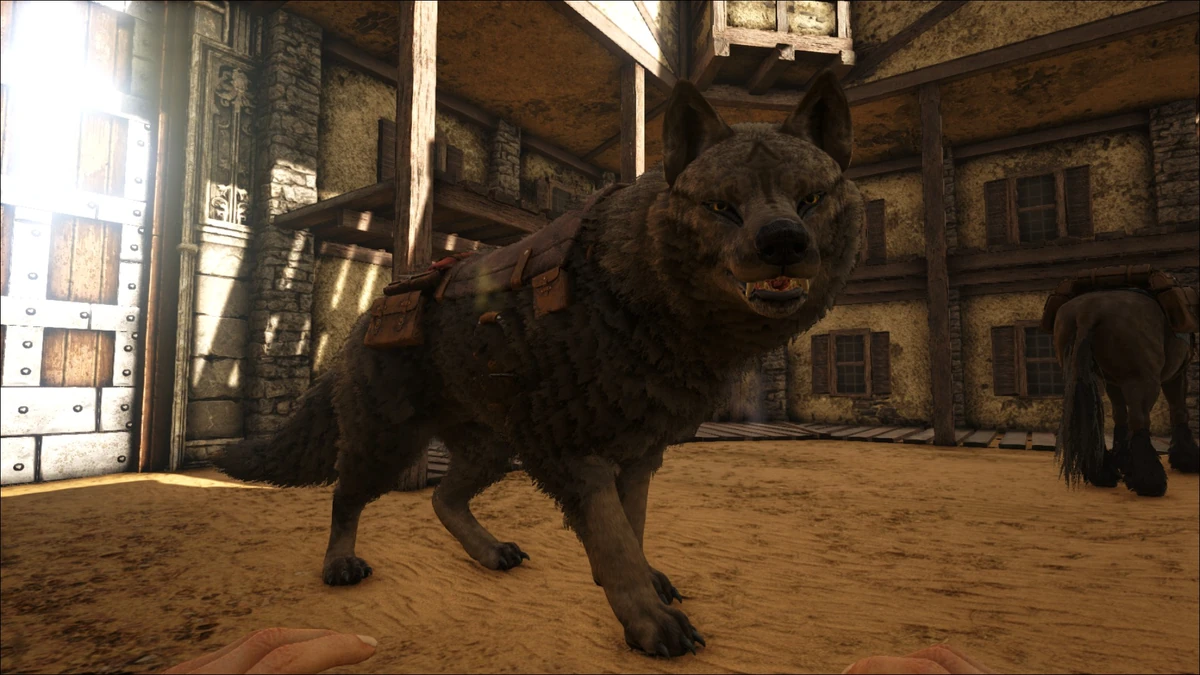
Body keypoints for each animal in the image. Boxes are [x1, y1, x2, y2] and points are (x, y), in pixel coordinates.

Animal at [214, 71, 864, 657]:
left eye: (810, 199)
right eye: (722, 206)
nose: (784, 241)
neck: (640, 290)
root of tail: (359, 323)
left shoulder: (637, 454)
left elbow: (631, 527)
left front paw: (643, 584)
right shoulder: (570, 449)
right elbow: (612, 537)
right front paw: (648, 621)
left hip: (493, 446)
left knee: (442, 498)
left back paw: (489, 551)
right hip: (389, 441)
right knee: (346, 497)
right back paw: (340, 562)